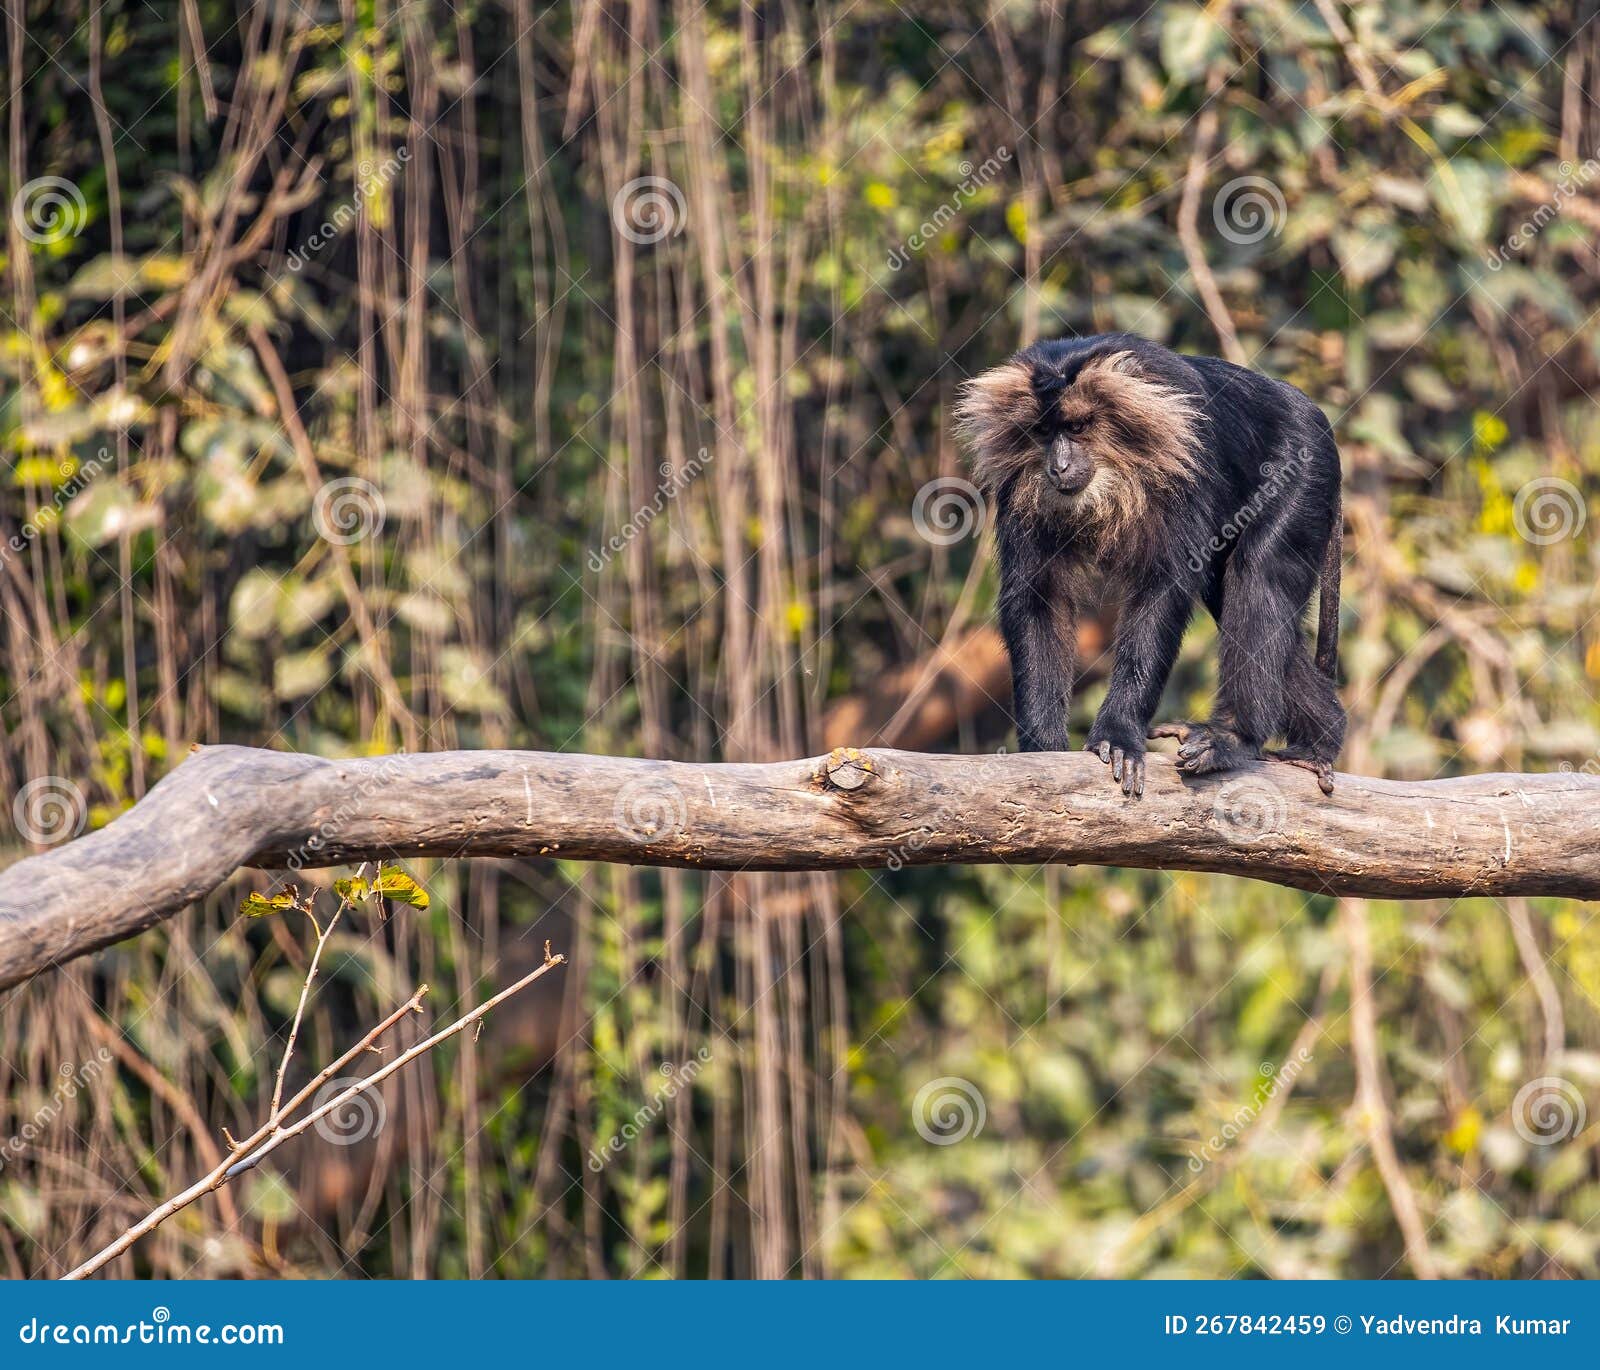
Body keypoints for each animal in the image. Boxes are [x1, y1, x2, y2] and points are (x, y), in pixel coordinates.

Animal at [955, 332, 1344, 798]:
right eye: (1044, 431)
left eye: (1077, 427)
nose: (1058, 466)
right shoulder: (1018, 485)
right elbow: (1038, 595)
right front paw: (1042, 748)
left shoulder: (1185, 458)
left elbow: (1164, 587)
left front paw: (1119, 736)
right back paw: (1320, 741)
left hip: (1303, 465)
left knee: (1259, 574)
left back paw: (1235, 739)